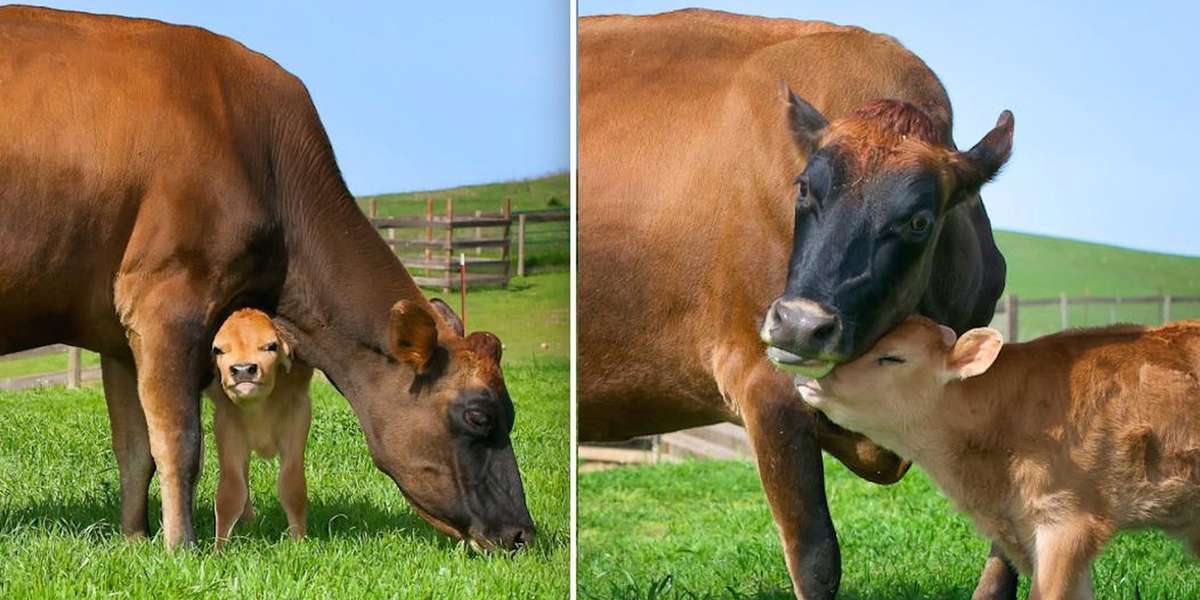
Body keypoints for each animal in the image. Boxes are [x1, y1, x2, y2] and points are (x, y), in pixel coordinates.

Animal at [0, 6, 533, 551]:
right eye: (479, 415)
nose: (521, 533)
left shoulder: (118, 333)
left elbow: (135, 448)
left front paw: (134, 540)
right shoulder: (167, 301)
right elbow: (178, 440)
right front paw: (181, 547)